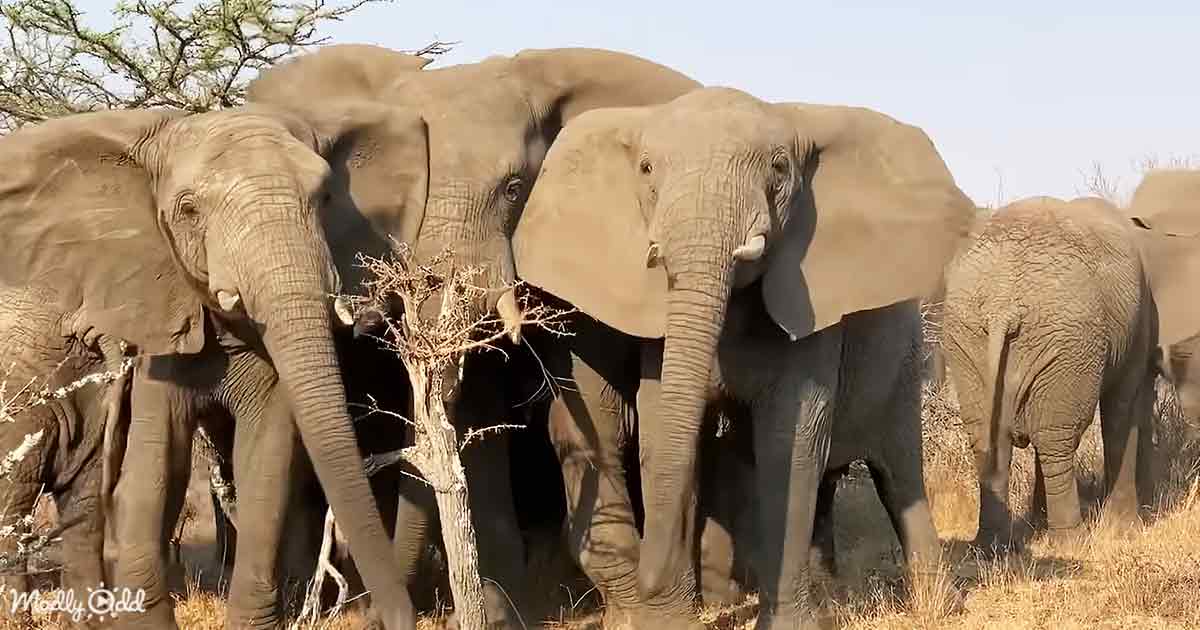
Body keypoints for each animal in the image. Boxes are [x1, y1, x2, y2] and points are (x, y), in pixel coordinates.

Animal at [0, 104, 425, 629]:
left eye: (325, 198)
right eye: (189, 211)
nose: (385, 617)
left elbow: (266, 454)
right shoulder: (150, 318)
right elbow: (156, 459)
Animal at [511, 87, 974, 629]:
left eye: (779, 168)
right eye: (645, 168)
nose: (645, 581)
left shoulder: (809, 300)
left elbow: (791, 439)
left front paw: (787, 627)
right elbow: (666, 430)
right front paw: (670, 622)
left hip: (905, 355)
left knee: (898, 471)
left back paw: (940, 606)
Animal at [940, 196, 1158, 551]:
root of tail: (1002, 305)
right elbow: (1122, 410)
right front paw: (1125, 532)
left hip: (967, 337)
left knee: (993, 437)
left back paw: (992, 545)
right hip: (1067, 338)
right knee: (1057, 438)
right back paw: (1071, 543)